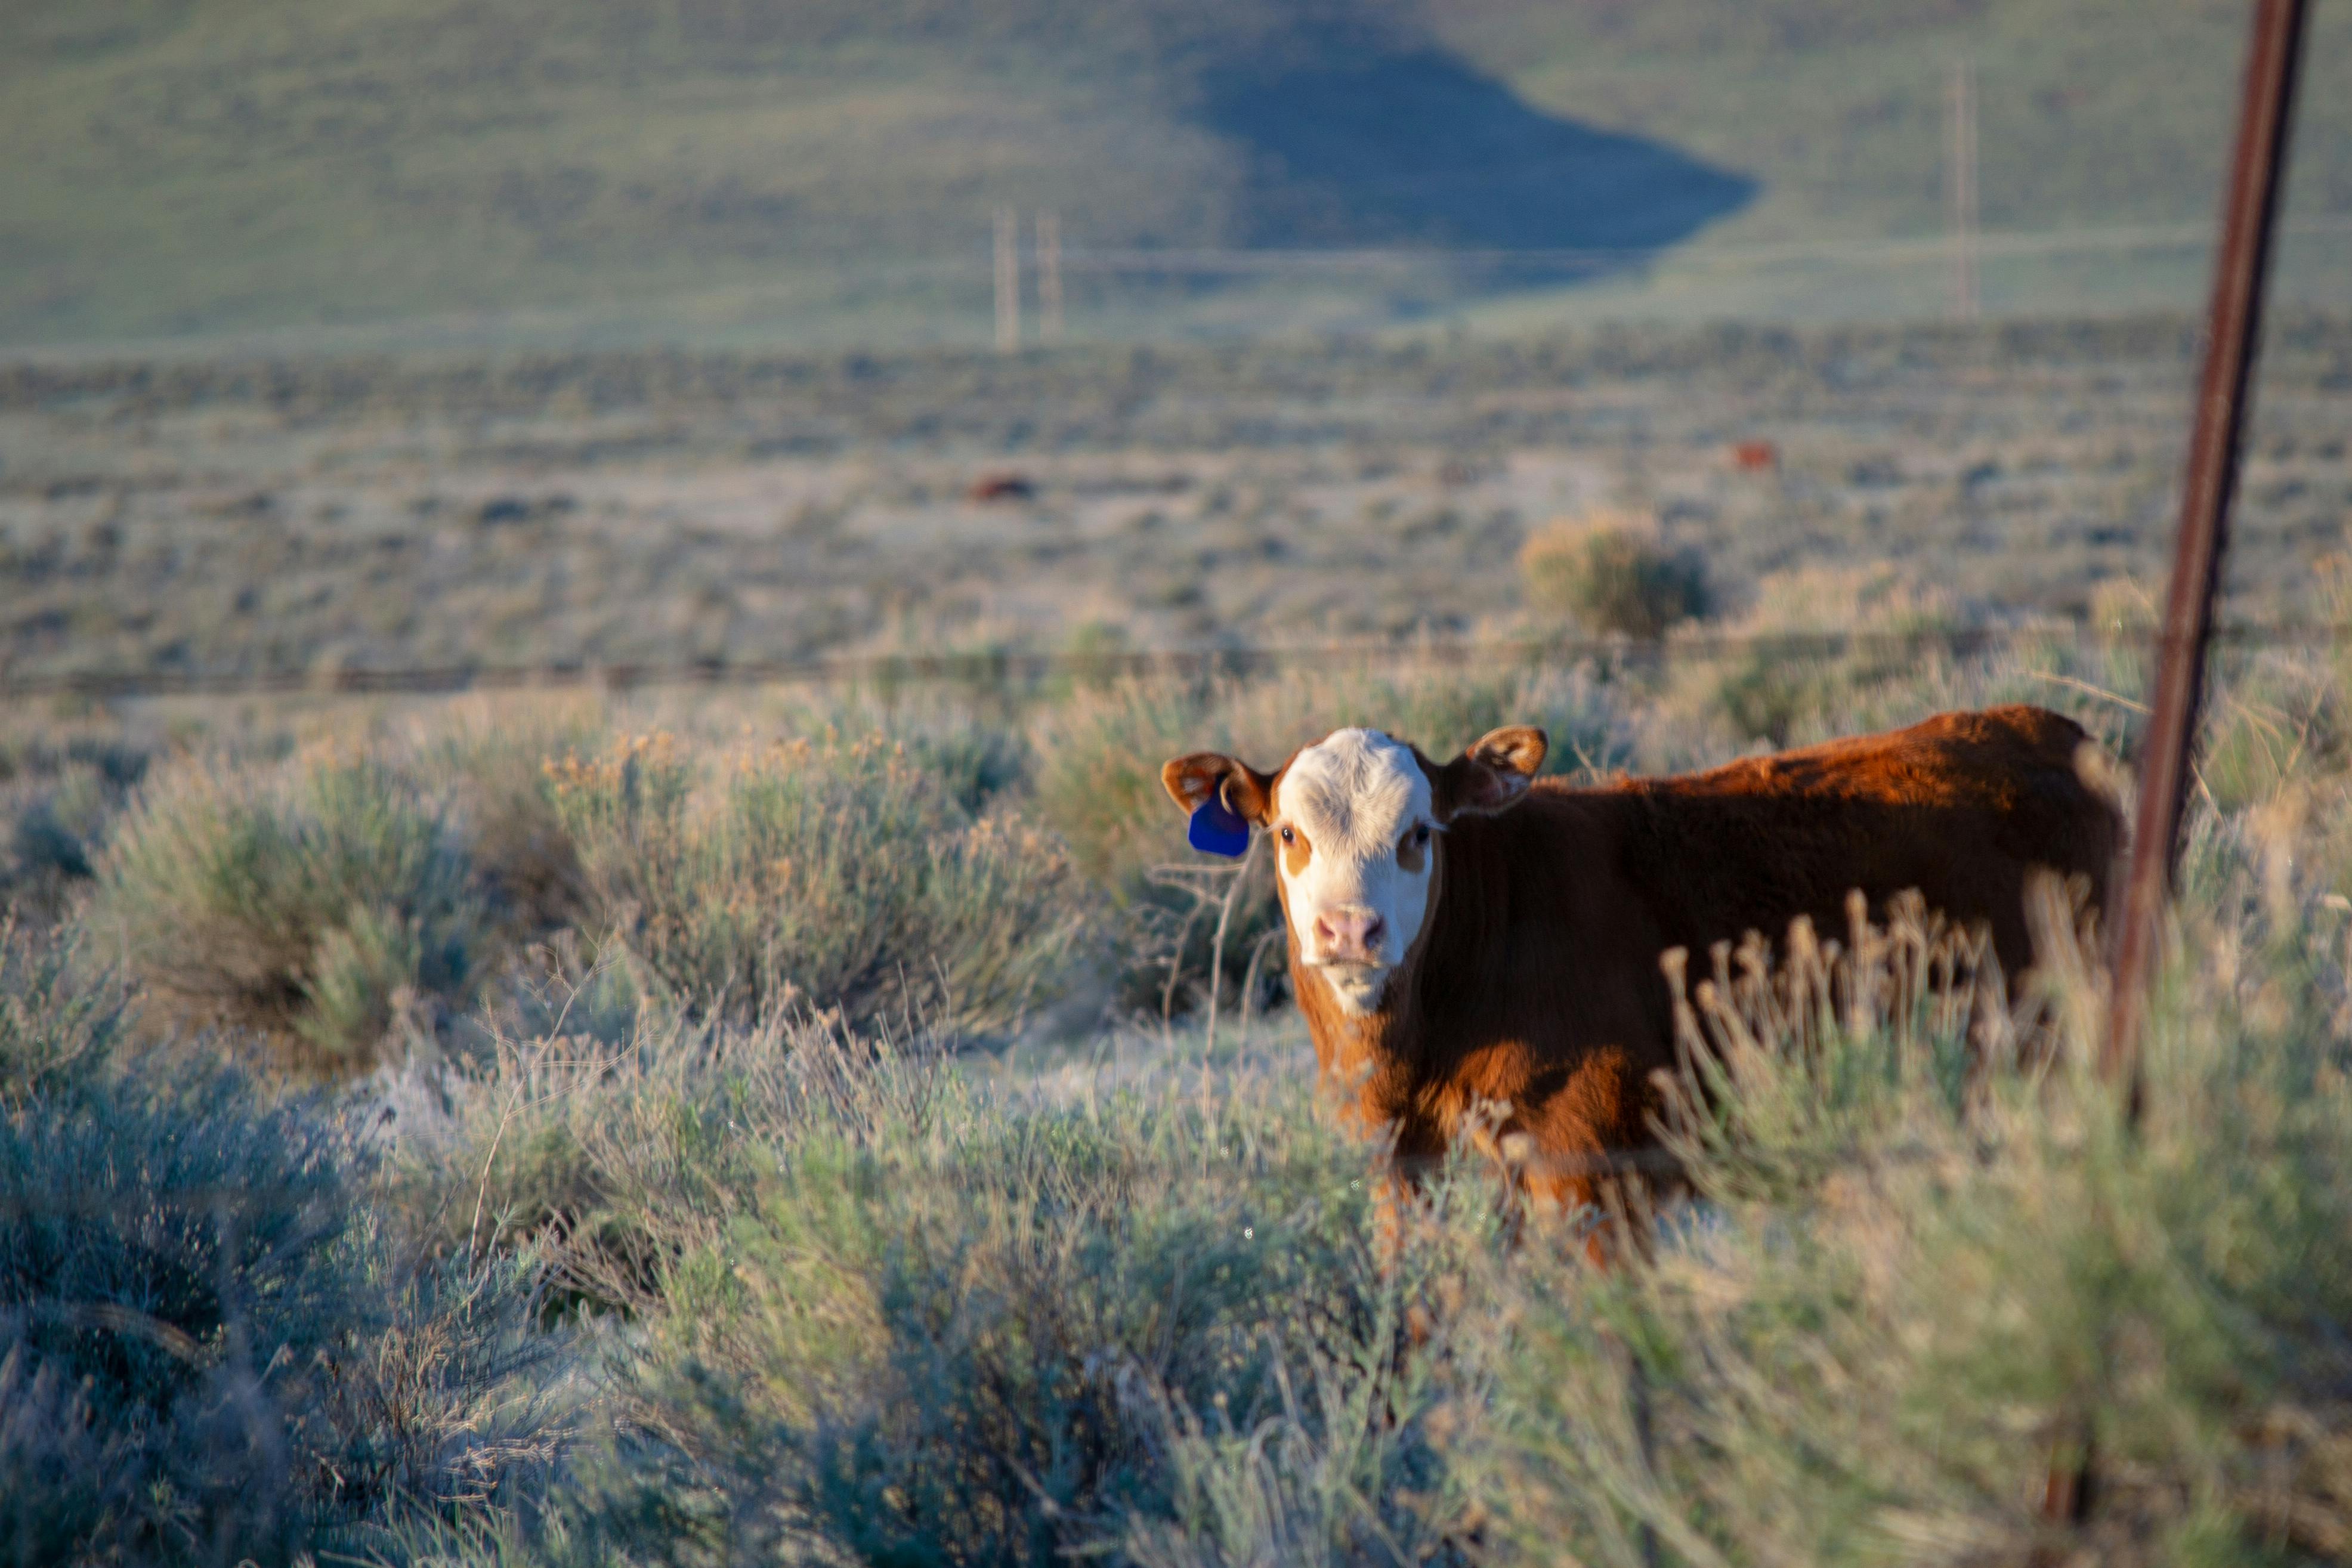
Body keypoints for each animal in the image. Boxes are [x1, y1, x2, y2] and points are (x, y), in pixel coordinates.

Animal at [1161, 704, 2119, 1232]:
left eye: (1417, 835)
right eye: (1289, 833)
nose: (1348, 930)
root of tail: (2039, 726)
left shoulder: (1592, 1176)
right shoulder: (1404, 1171)